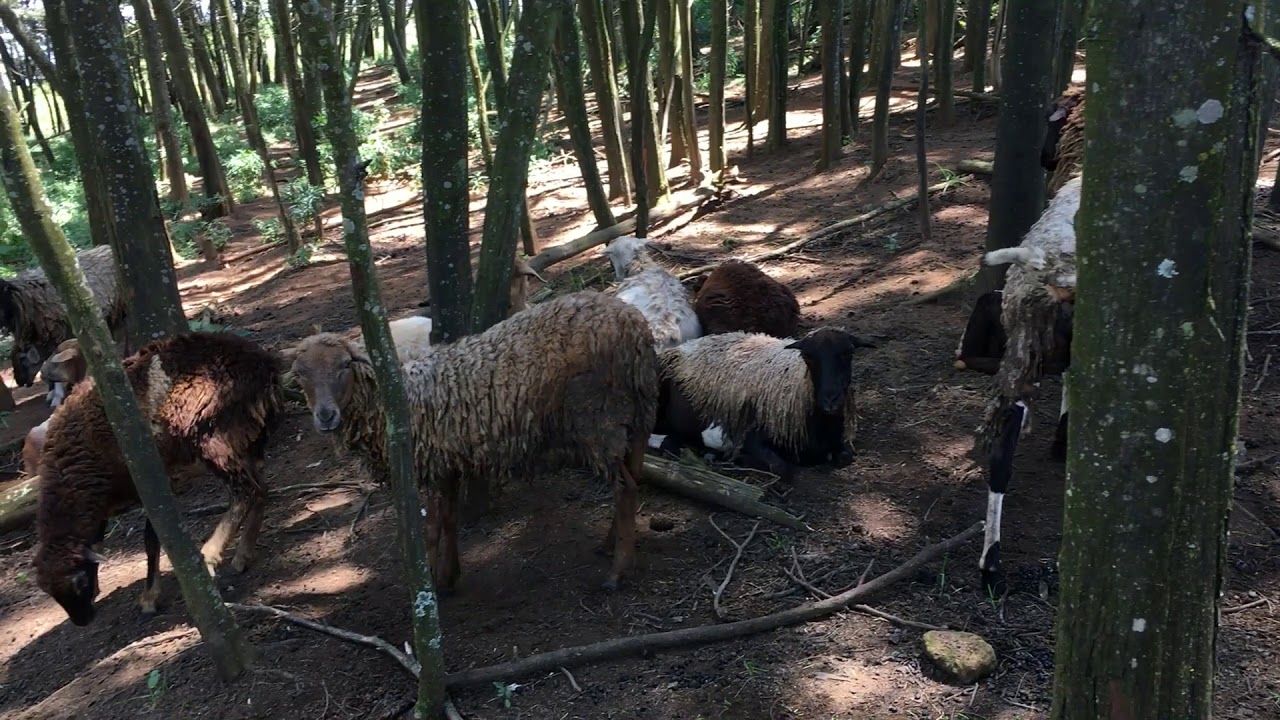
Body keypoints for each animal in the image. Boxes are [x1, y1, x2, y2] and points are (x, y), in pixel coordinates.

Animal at [32, 331, 284, 626]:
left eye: (79, 583)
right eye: (49, 593)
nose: (82, 621)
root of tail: (264, 364)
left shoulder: (152, 483)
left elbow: (151, 540)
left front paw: (150, 597)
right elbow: (98, 538)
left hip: (215, 437)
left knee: (246, 491)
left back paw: (210, 555)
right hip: (248, 440)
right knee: (262, 488)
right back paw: (243, 554)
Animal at [286, 290, 659, 592]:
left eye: (344, 366)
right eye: (300, 374)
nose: (325, 416)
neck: (397, 401)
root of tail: (634, 326)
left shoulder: (432, 464)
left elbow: (433, 528)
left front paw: (432, 583)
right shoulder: (447, 464)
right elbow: (450, 519)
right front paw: (448, 576)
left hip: (598, 418)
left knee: (625, 488)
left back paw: (618, 572)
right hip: (636, 415)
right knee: (634, 478)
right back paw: (613, 544)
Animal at [653, 327, 875, 483]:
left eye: (849, 353)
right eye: (808, 356)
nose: (831, 400)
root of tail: (682, 346)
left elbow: (845, 457)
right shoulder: (750, 437)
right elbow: (782, 469)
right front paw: (738, 458)